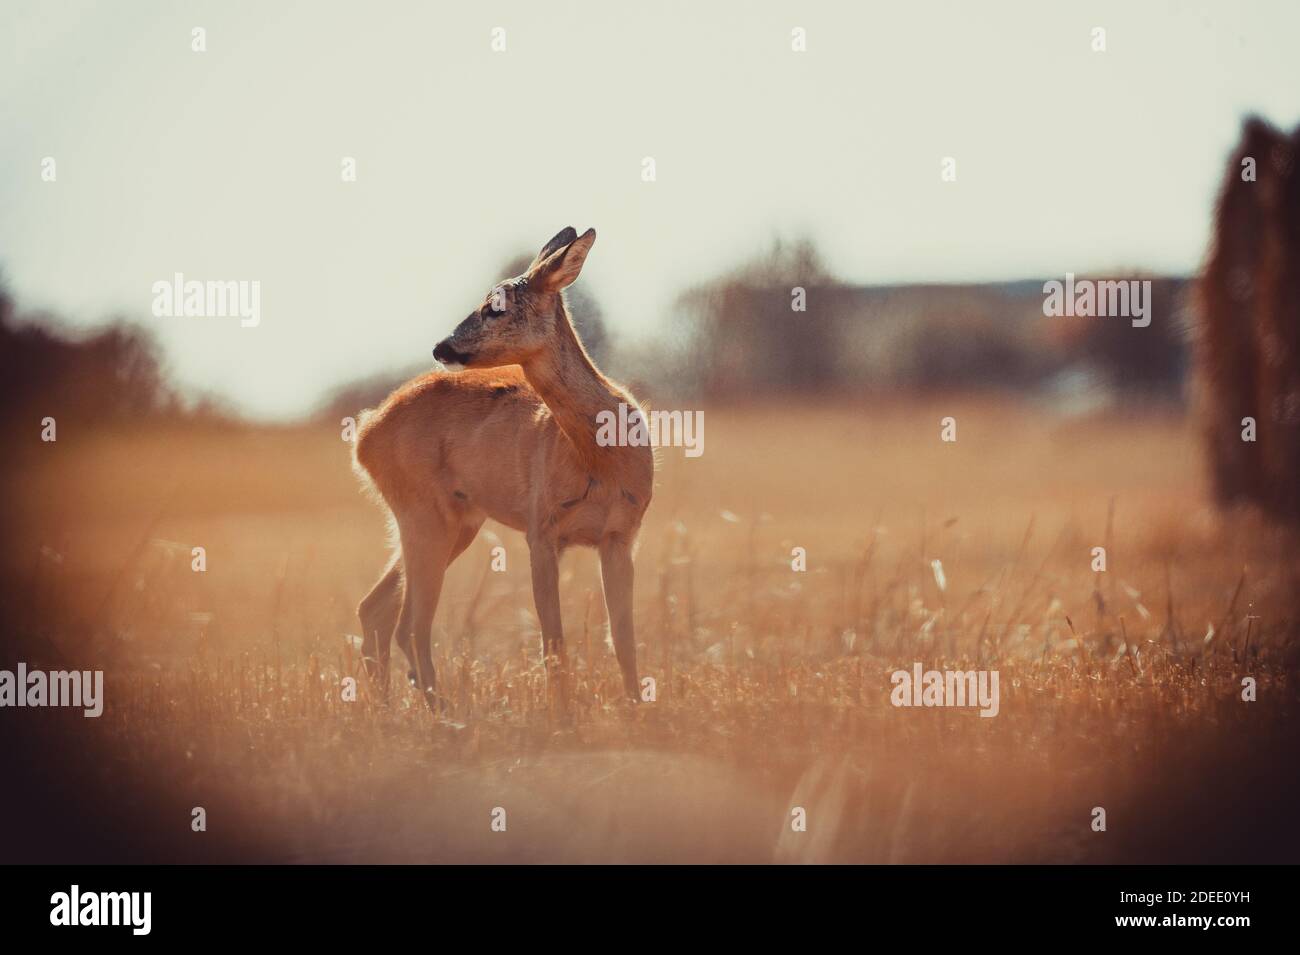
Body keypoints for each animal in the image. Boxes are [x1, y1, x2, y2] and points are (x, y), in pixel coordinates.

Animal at [352, 227, 654, 713]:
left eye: (496, 306)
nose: (441, 346)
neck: (599, 460)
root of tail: (364, 432)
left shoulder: (621, 535)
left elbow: (623, 640)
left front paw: (636, 713)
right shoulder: (541, 529)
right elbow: (554, 642)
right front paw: (562, 718)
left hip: (455, 523)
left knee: (377, 610)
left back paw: (390, 710)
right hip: (423, 515)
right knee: (409, 624)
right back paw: (442, 714)